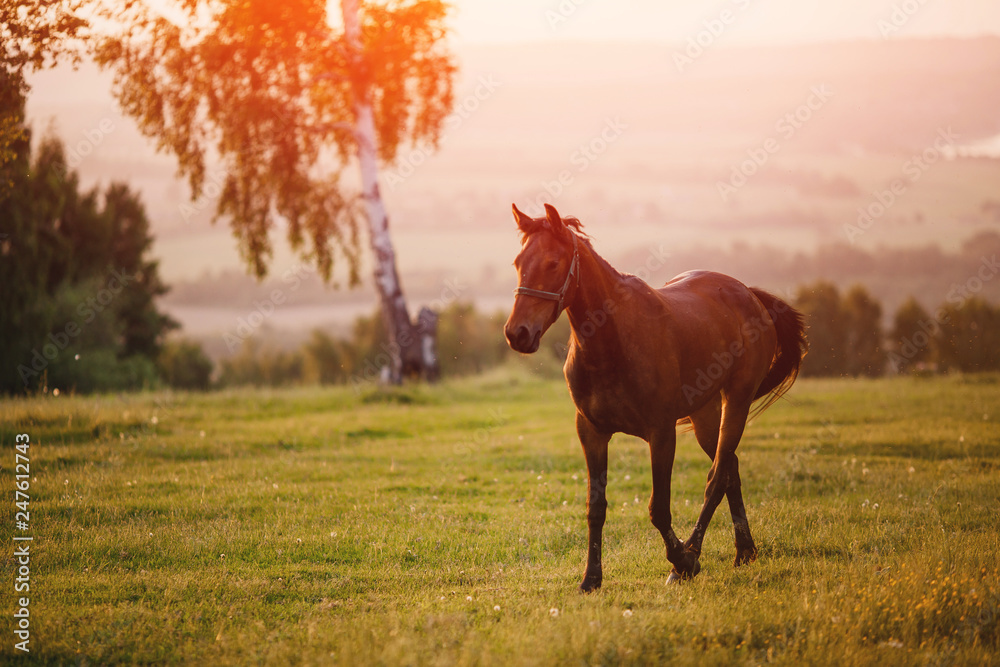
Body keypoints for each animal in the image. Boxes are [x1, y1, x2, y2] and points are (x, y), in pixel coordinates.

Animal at [504, 203, 807, 591]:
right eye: (518, 262)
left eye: (553, 263)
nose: (517, 333)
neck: (611, 341)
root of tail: (748, 294)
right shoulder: (592, 432)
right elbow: (595, 508)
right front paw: (591, 578)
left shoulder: (661, 433)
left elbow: (658, 509)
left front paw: (682, 560)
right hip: (705, 415)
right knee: (731, 469)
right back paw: (745, 551)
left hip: (736, 402)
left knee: (716, 477)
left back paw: (691, 557)